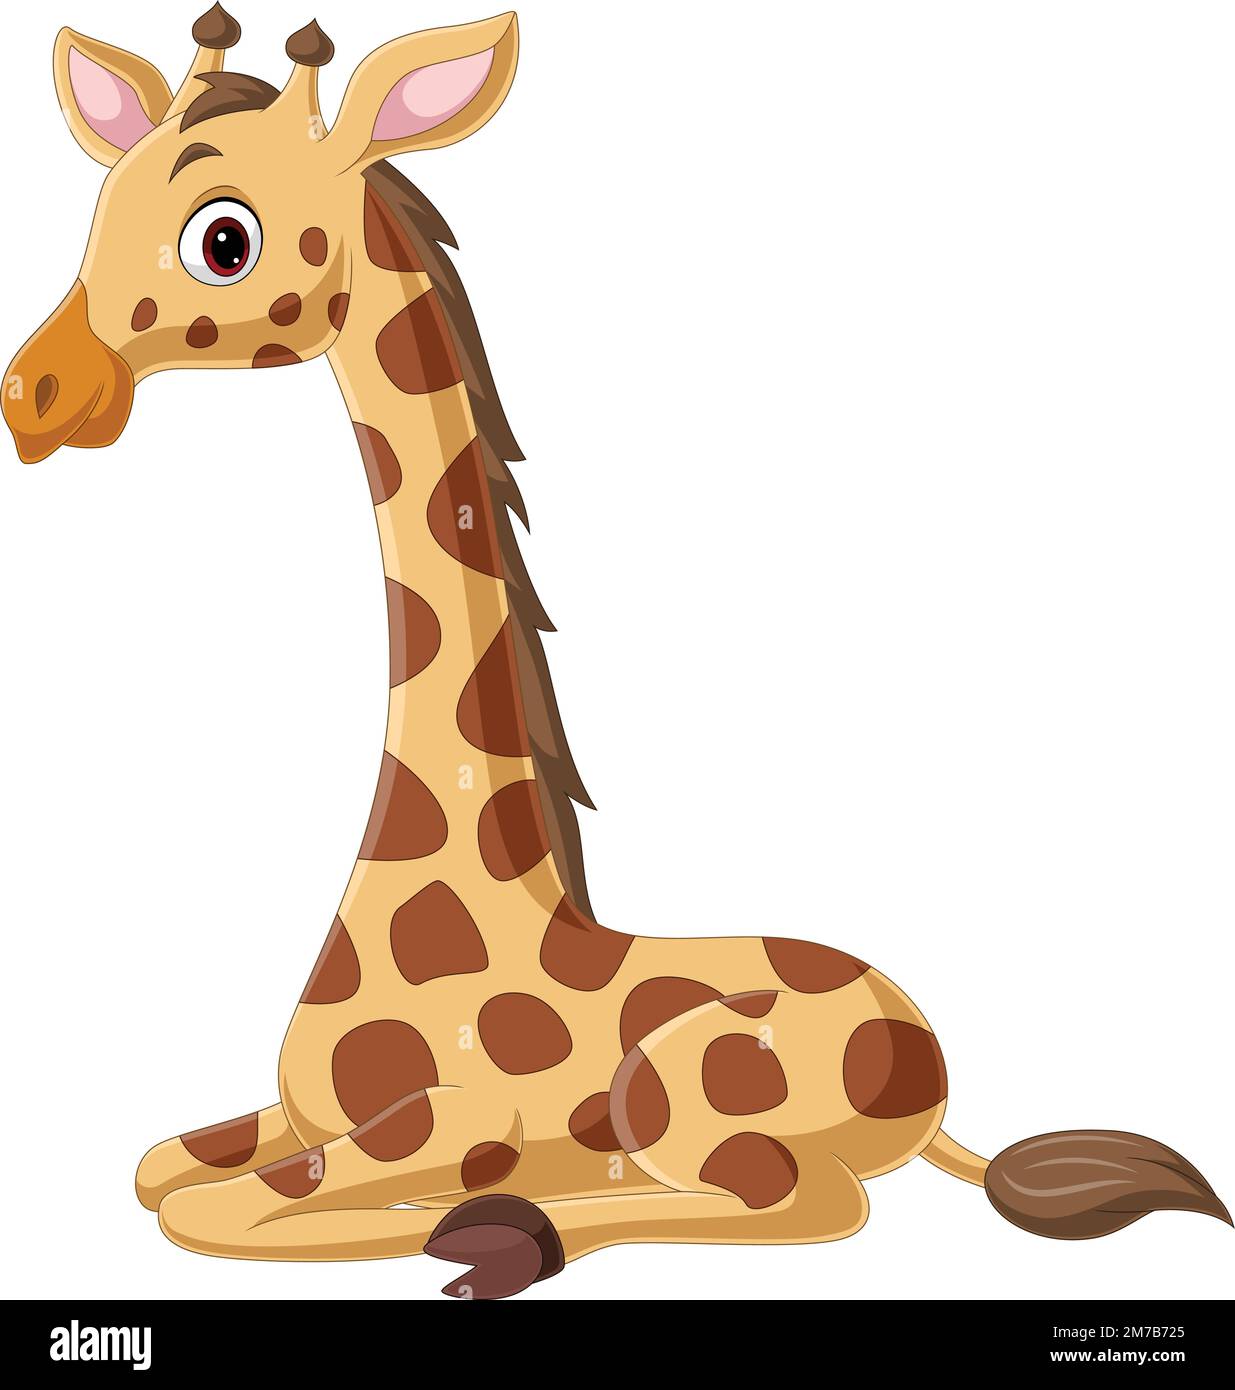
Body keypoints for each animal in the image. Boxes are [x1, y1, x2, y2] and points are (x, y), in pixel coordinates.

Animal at [4, 6, 1229, 1299]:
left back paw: (507, 1227)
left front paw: (460, 1210)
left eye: (222, 240)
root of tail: (933, 1065)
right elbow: (159, 1170)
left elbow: (221, 1212)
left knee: (806, 1200)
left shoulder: (448, 1112)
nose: (35, 394)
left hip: (679, 1088)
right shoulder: (294, 1110)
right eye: (97, 211)